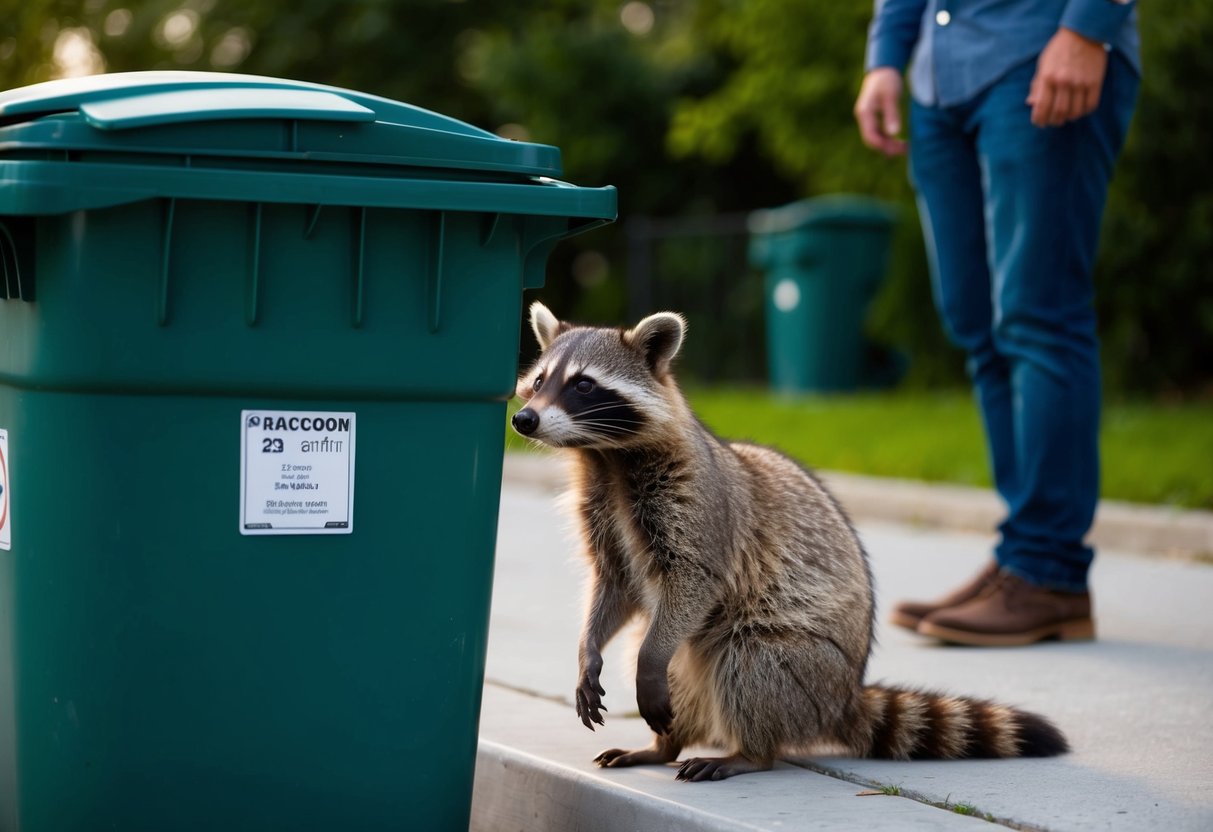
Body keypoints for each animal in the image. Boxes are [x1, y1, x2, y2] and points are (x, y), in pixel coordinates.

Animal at [511, 302, 1067, 781]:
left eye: (583, 384)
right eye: (538, 382)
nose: (524, 419)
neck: (605, 457)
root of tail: (844, 695)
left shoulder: (699, 506)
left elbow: (694, 582)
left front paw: (648, 663)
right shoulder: (602, 510)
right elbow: (615, 585)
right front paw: (587, 650)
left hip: (802, 666)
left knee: (747, 662)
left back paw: (750, 752)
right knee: (676, 668)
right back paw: (664, 745)